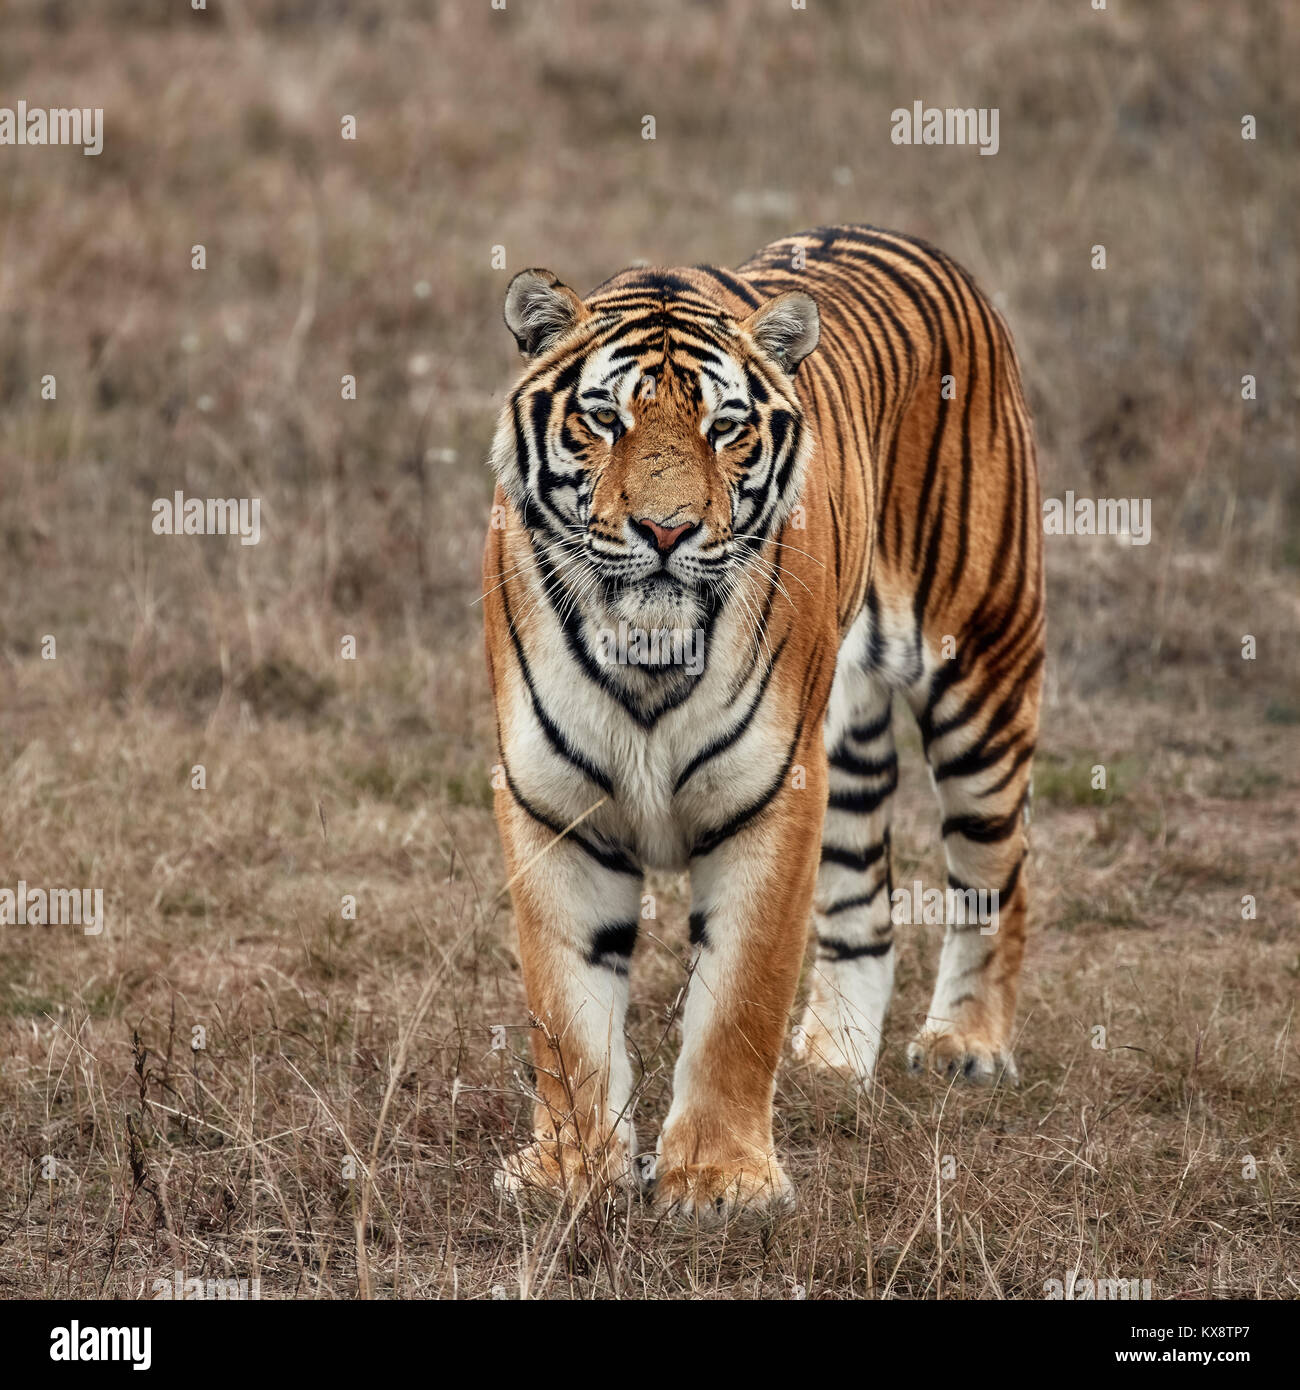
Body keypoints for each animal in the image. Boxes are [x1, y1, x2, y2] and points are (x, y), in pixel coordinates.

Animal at [482, 224, 1044, 1221]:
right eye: (605, 418)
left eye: (725, 427)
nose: (666, 530)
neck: (647, 649)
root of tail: (926, 245)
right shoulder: (554, 802)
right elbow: (566, 1010)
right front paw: (571, 1172)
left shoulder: (770, 796)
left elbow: (737, 1003)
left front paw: (719, 1181)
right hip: (848, 745)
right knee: (865, 906)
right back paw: (833, 1058)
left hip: (982, 669)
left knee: (996, 873)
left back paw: (966, 1046)